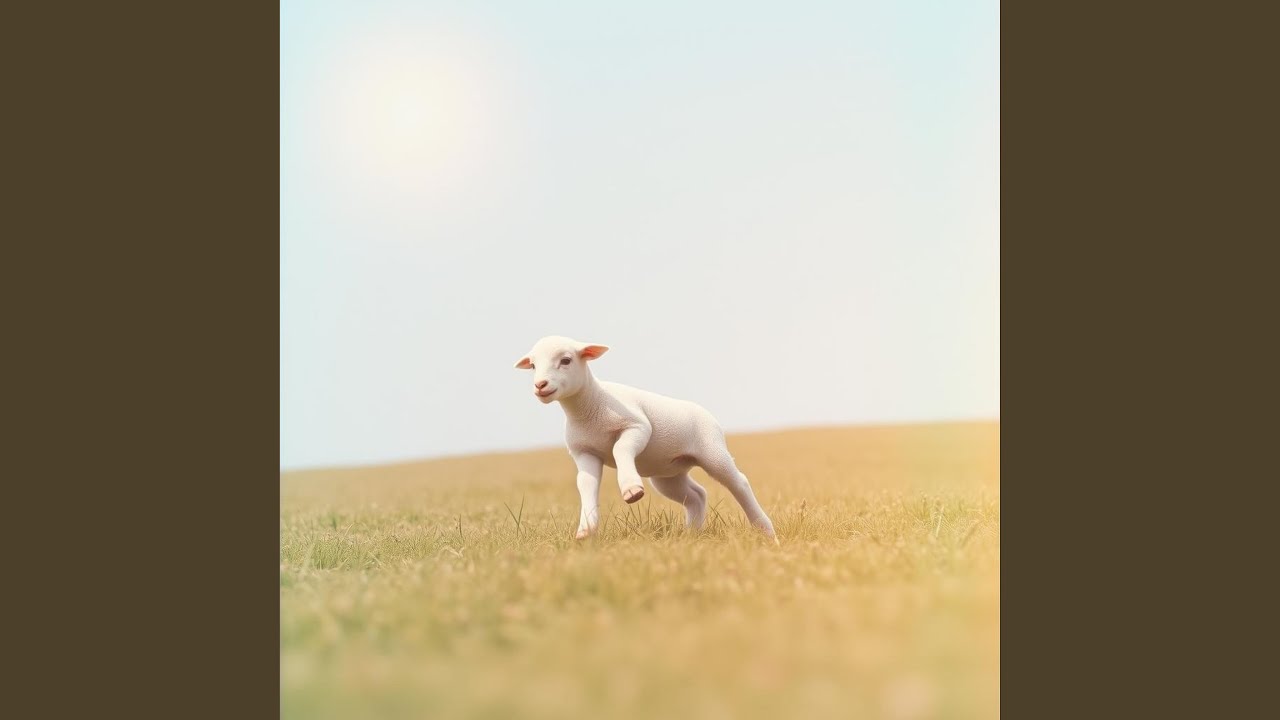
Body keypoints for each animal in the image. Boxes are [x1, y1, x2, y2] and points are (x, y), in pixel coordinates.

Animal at [515, 335, 776, 541]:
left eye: (566, 360)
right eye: (534, 366)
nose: (540, 385)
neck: (590, 407)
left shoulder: (637, 426)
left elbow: (620, 449)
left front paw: (631, 488)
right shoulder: (584, 452)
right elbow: (586, 484)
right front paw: (586, 528)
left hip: (712, 449)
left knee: (739, 482)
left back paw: (766, 531)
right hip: (667, 474)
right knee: (696, 495)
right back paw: (692, 535)